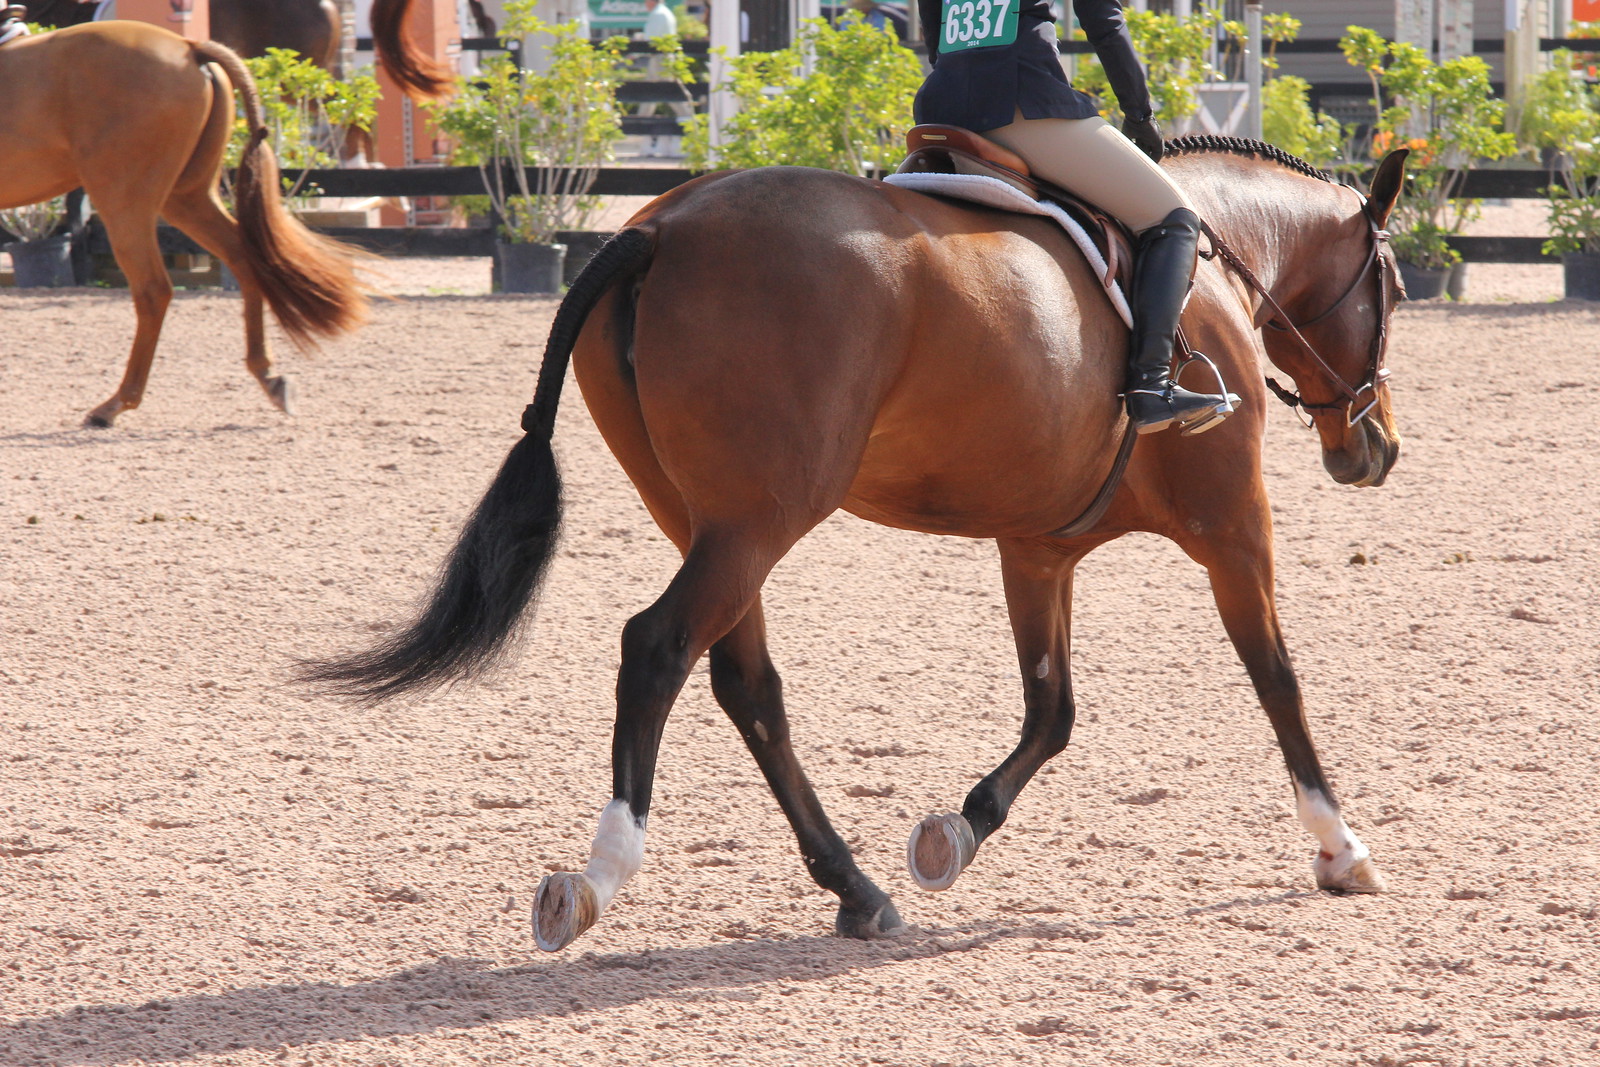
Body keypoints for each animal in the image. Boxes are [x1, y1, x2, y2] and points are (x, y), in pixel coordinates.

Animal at [0, 20, 367, 426]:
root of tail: (188, 46)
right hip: (186, 197)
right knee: (242, 258)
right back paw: (268, 375)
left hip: (124, 201)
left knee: (152, 289)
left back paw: (115, 404)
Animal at [303, 139, 1410, 952]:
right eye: (1393, 287)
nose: (1376, 447)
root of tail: (661, 226)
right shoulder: (1233, 525)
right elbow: (1277, 679)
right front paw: (1340, 845)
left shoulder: (1036, 547)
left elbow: (1051, 710)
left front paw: (952, 835)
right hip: (761, 518)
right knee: (656, 647)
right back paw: (600, 875)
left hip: (710, 519)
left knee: (743, 681)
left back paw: (858, 887)